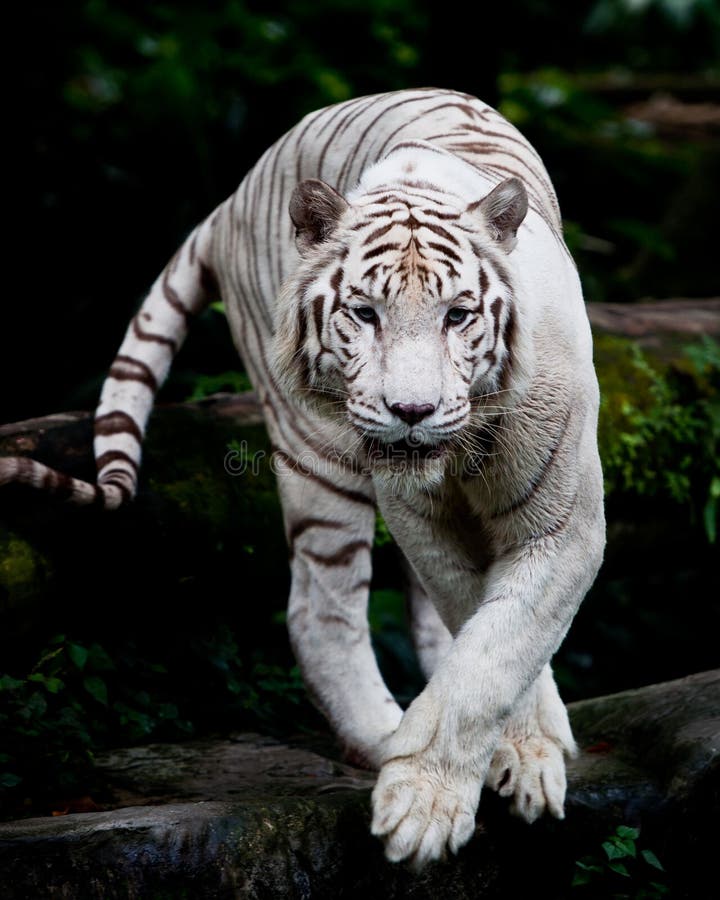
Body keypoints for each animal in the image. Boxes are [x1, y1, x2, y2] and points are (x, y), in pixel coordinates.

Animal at [0, 88, 605, 867]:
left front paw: (514, 764)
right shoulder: (429, 524)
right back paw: (383, 735)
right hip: (315, 449)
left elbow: (499, 646)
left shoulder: (562, 527)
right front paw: (437, 797)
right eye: (365, 312)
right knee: (320, 612)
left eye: (459, 316)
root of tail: (232, 198)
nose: (412, 412)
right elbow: (488, 642)